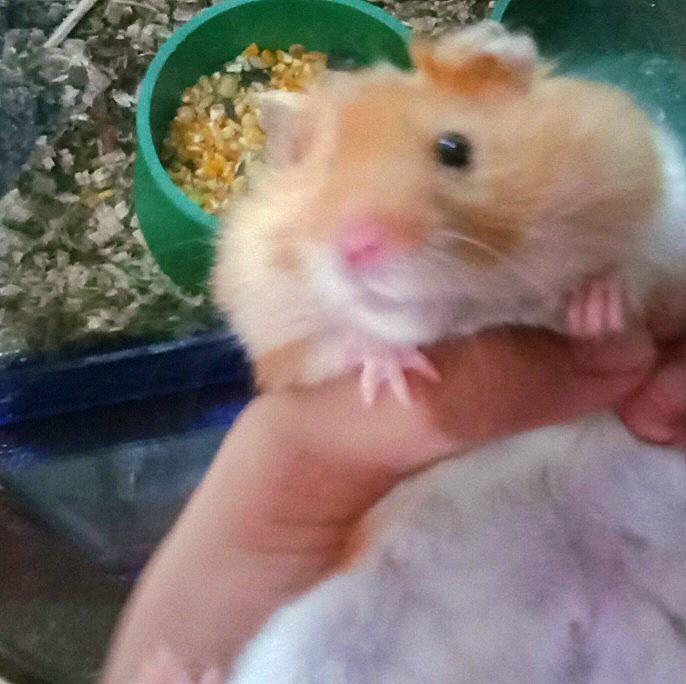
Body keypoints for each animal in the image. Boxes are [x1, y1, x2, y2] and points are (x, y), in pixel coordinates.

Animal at [212, 20, 686, 405]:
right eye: (323, 171)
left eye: (454, 149)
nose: (357, 247)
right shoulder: (273, 334)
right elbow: (339, 341)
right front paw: (394, 377)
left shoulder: (658, 193)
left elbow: (637, 261)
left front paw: (595, 315)